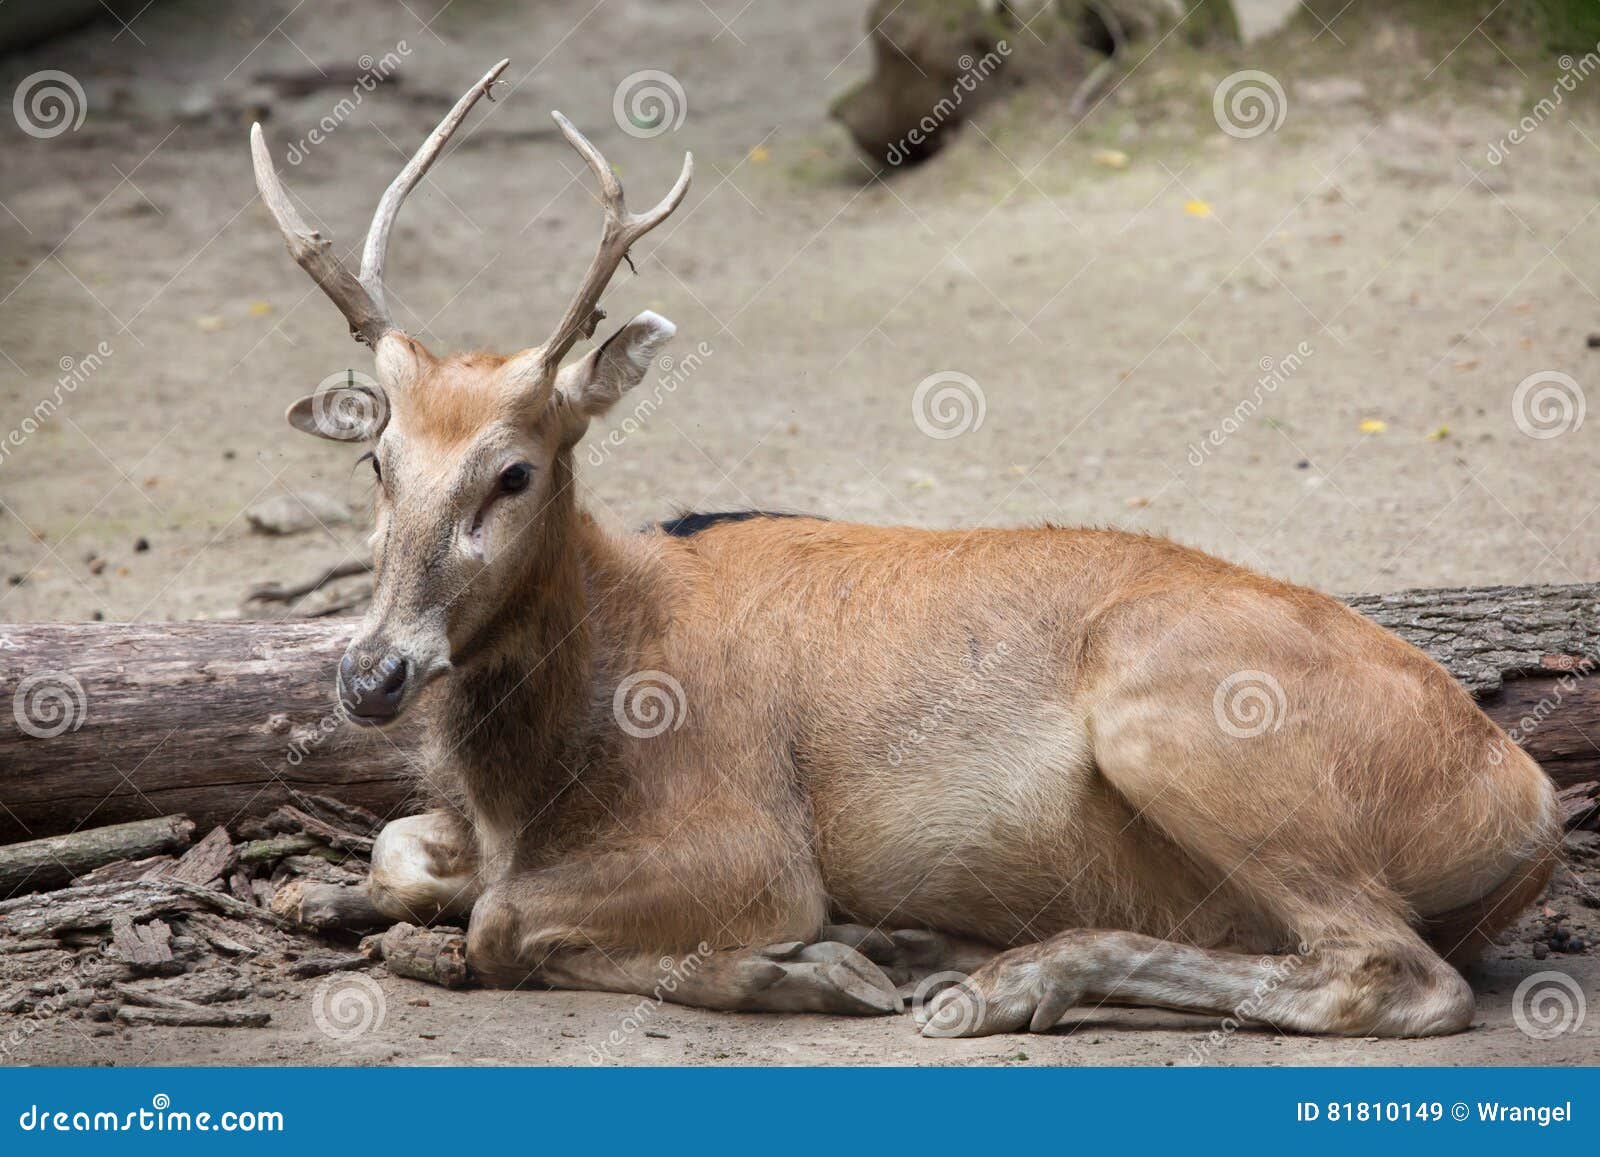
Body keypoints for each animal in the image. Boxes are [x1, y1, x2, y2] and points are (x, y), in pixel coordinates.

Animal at [252, 60, 1560, 1038]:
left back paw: (992, 980)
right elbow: (404, 852)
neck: (549, 764)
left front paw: (813, 962)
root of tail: (1529, 803)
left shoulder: (751, 838)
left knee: (1392, 970)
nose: (370, 673)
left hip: (1179, 713)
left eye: (513, 470)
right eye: (377, 462)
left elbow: (503, 922)